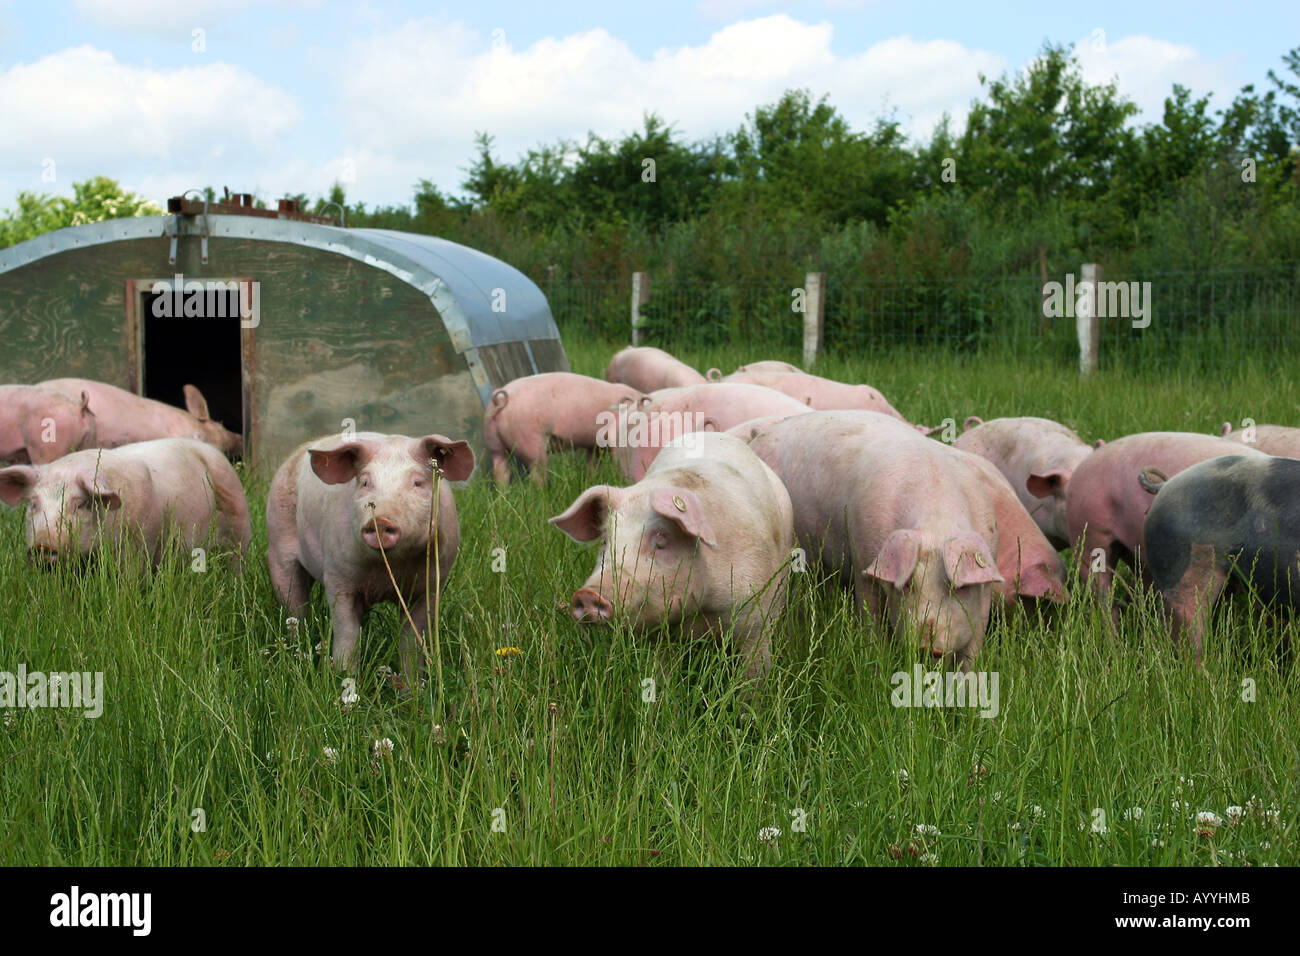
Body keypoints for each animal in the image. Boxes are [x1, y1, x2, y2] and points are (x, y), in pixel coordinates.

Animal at [265, 430, 475, 680]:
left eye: (417, 482)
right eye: (365, 482)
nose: (381, 520)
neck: (388, 570)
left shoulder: (433, 584)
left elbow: (412, 641)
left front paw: (412, 686)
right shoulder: (338, 576)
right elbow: (347, 633)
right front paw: (345, 679)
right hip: (278, 547)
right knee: (295, 608)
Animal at [483, 372, 643, 485]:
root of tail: (500, 401)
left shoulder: (595, 446)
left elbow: (593, 465)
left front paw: (592, 481)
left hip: (493, 441)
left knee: (501, 471)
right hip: (530, 440)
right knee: (536, 475)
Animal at [551, 431, 793, 686]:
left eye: (661, 542)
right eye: (606, 541)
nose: (587, 594)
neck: (698, 612)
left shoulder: (755, 618)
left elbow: (754, 675)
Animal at [748, 410, 1003, 667]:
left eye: (959, 588)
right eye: (908, 584)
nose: (926, 646)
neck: (936, 520)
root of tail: (758, 440)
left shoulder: (986, 580)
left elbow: (973, 648)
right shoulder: (864, 554)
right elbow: (871, 615)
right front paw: (877, 659)